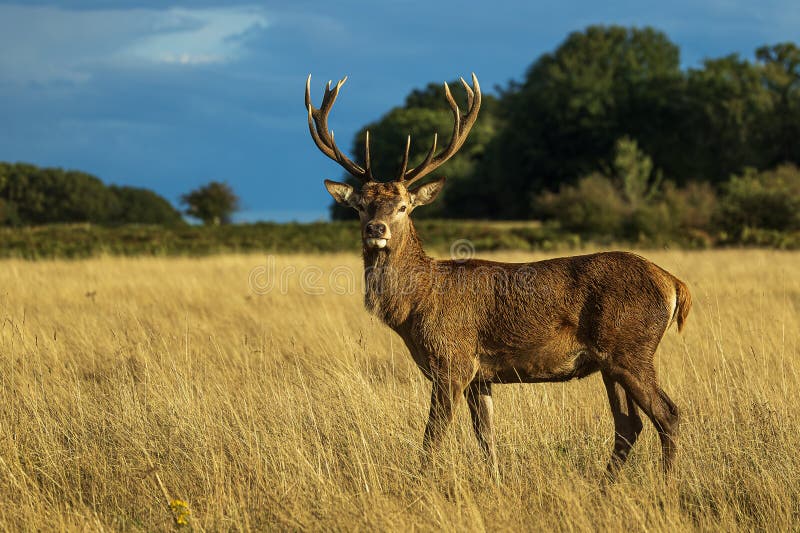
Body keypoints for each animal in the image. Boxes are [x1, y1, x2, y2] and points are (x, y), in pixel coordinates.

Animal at [305, 73, 691, 481]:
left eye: (403, 206)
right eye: (361, 206)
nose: (375, 229)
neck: (416, 307)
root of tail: (673, 284)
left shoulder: (453, 360)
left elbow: (431, 439)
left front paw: (422, 481)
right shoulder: (482, 376)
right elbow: (486, 439)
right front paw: (496, 482)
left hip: (630, 347)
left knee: (667, 414)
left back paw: (666, 484)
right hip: (612, 360)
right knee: (629, 424)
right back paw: (606, 486)